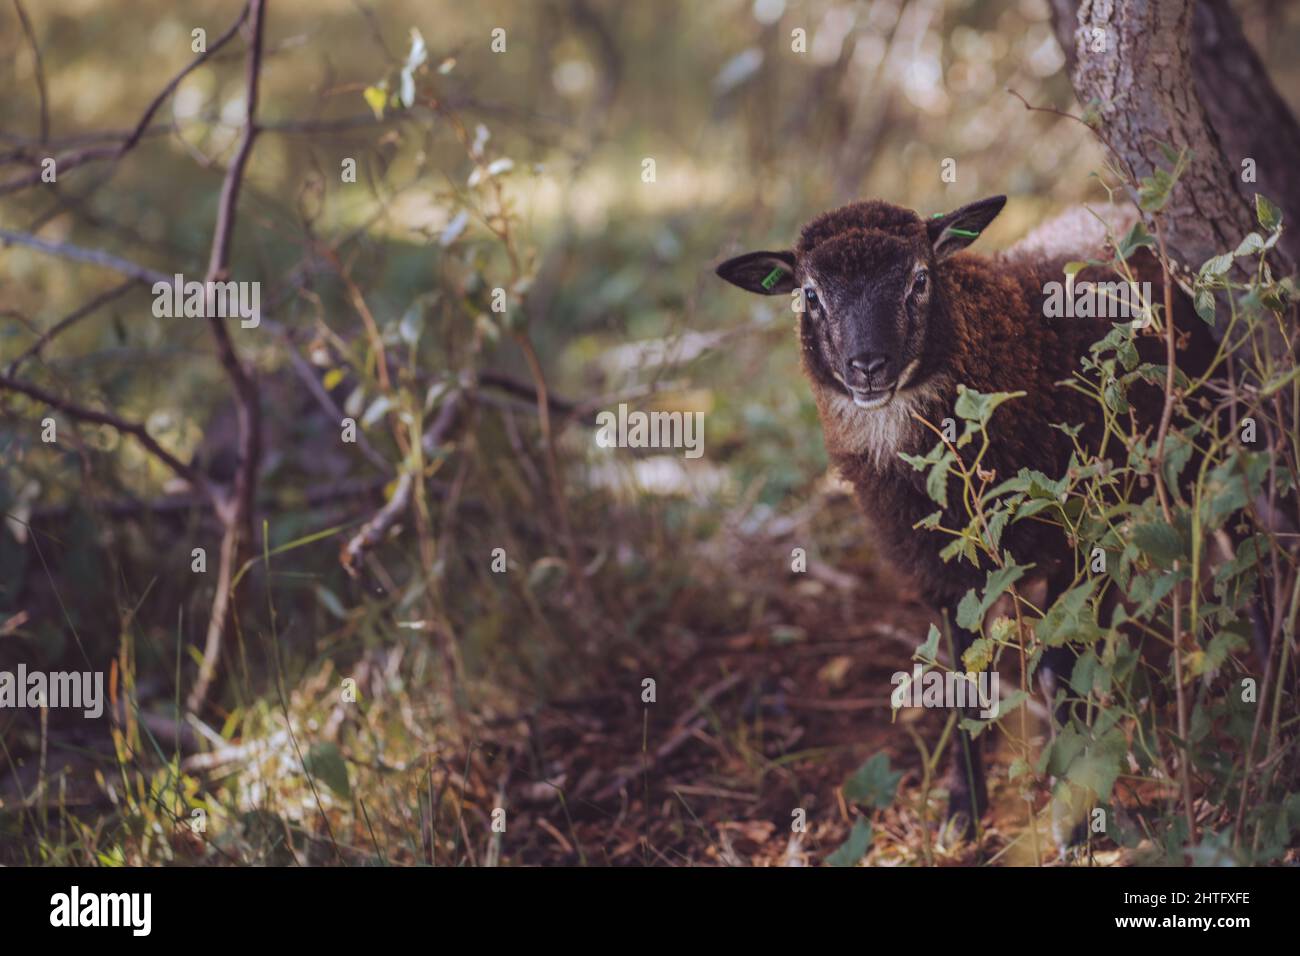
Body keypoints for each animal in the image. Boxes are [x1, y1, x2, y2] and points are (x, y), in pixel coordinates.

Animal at [715, 195, 1219, 836]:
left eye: (919, 279)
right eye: (810, 294)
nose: (867, 366)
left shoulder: (1076, 538)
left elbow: (1060, 667)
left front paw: (1074, 813)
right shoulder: (945, 573)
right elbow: (962, 684)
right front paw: (963, 809)